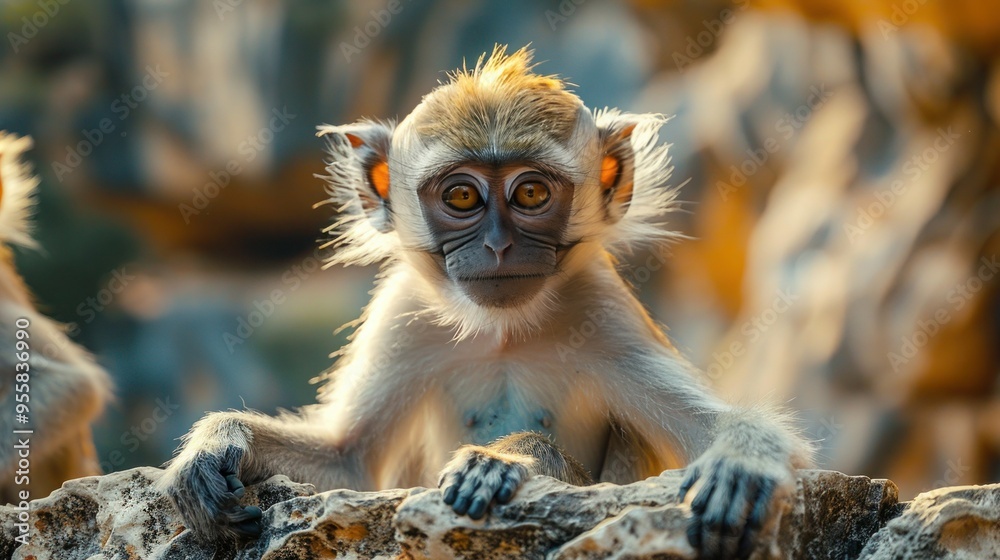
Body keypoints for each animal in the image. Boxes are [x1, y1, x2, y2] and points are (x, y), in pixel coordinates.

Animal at [162, 47, 812, 559]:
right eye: (461, 197)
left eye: (530, 193)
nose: (499, 246)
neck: (504, 330)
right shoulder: (403, 313)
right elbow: (346, 462)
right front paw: (219, 445)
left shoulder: (602, 309)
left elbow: (719, 437)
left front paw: (744, 461)